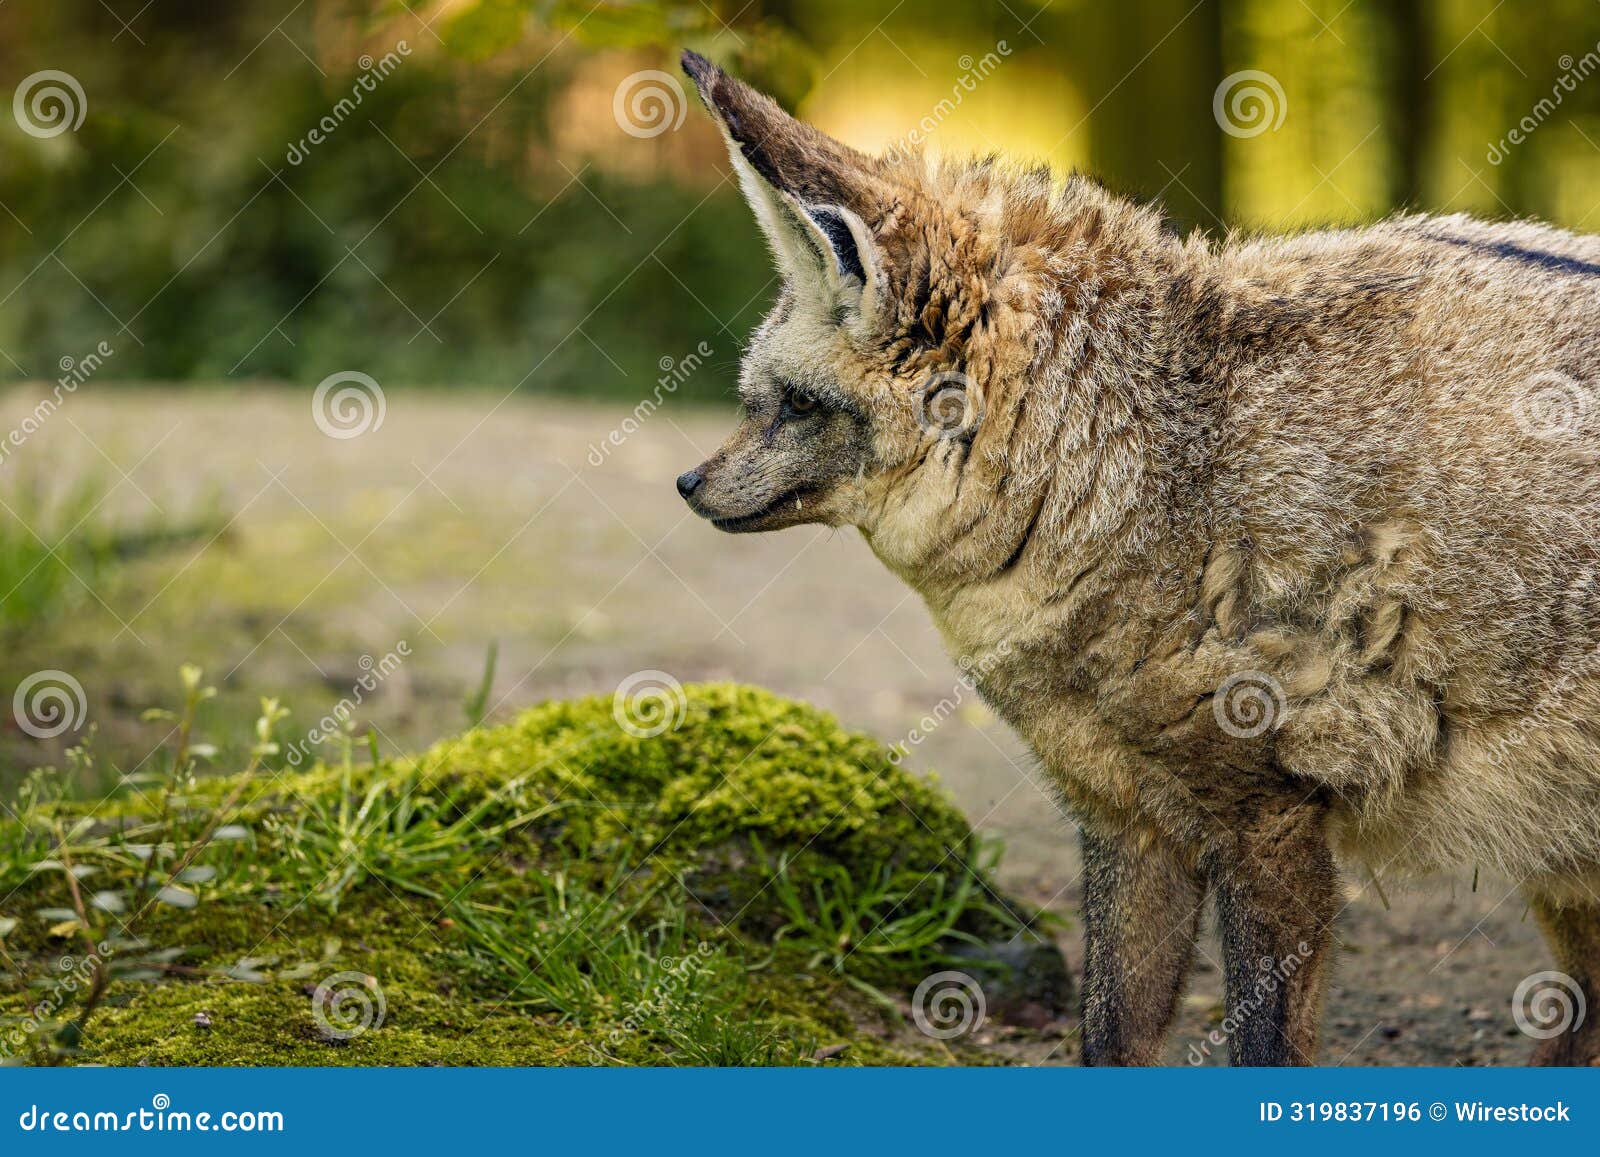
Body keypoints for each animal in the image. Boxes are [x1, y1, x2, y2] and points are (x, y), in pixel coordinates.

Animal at [672, 49, 1600, 1066]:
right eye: (755, 400)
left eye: (793, 404)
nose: (685, 482)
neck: (1142, 475)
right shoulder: (1128, 823)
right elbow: (1107, 1039)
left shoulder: (1267, 827)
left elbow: (1260, 1050)